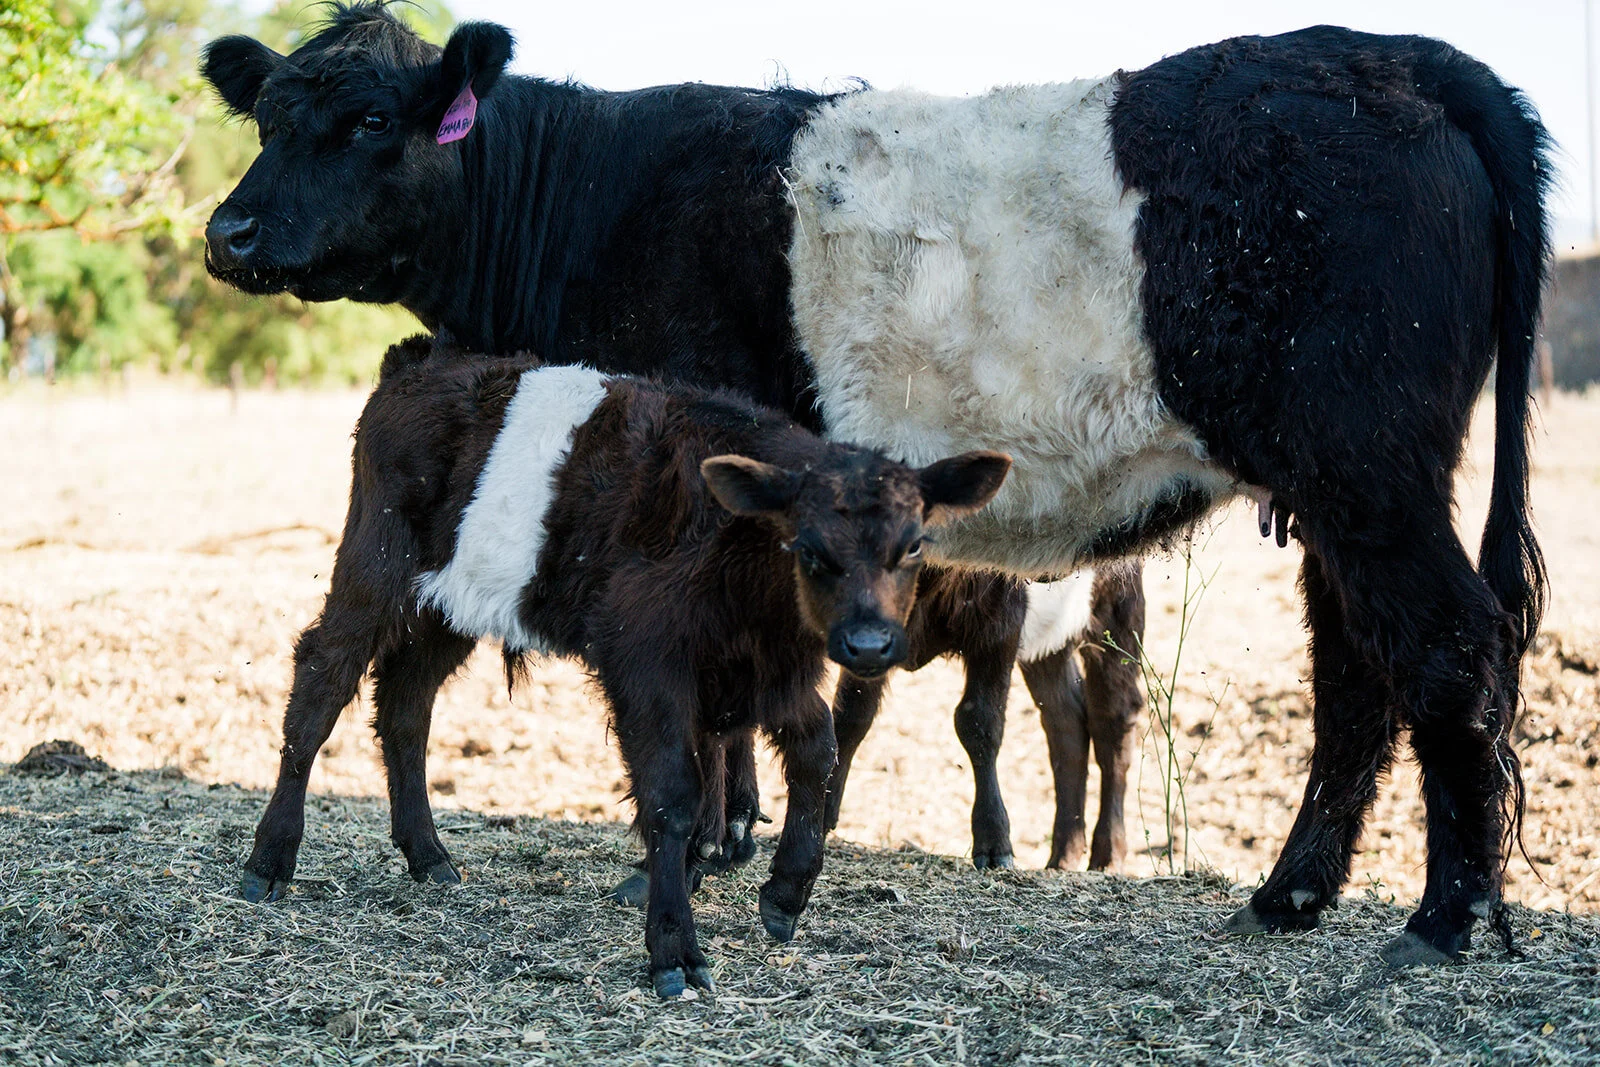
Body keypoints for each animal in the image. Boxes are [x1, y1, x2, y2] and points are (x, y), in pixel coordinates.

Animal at [242, 333, 1010, 996]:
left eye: (914, 545)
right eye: (809, 545)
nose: (870, 644)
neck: (736, 548)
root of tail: (415, 363)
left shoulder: (768, 674)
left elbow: (815, 752)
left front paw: (787, 889)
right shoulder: (645, 666)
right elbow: (673, 796)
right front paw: (674, 950)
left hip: (448, 605)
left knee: (405, 704)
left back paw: (428, 854)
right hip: (375, 567)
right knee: (320, 685)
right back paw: (270, 859)